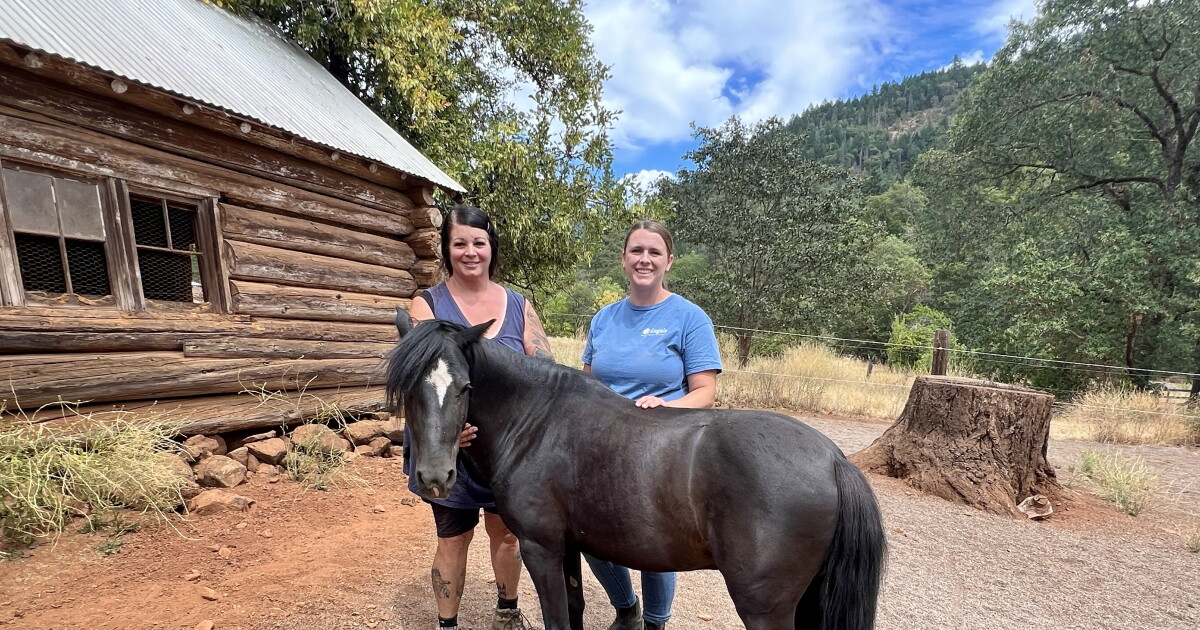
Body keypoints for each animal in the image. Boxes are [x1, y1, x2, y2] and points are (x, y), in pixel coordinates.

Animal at [386, 312, 886, 630]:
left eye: (465, 387)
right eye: (408, 386)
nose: (435, 478)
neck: (538, 421)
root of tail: (833, 459)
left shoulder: (540, 548)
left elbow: (558, 619)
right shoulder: (567, 548)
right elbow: (574, 608)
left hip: (764, 607)